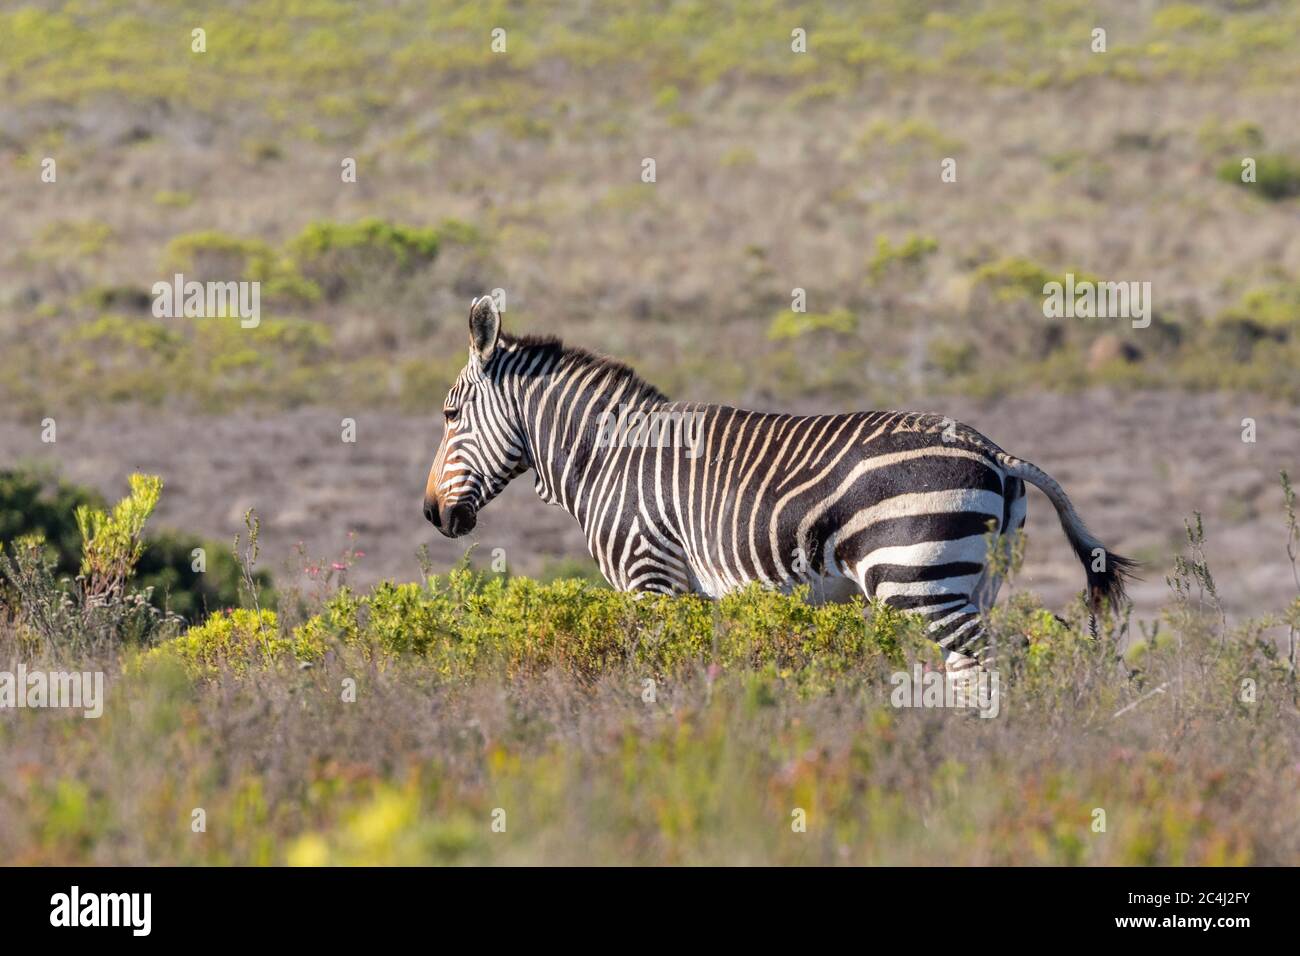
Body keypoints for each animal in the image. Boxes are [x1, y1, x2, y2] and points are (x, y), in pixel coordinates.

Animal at [423, 295, 1136, 684]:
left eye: (450, 414)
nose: (432, 514)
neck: (604, 458)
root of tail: (993, 451)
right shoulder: (691, 593)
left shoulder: (650, 579)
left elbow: (651, 672)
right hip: (976, 578)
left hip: (919, 581)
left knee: (977, 668)